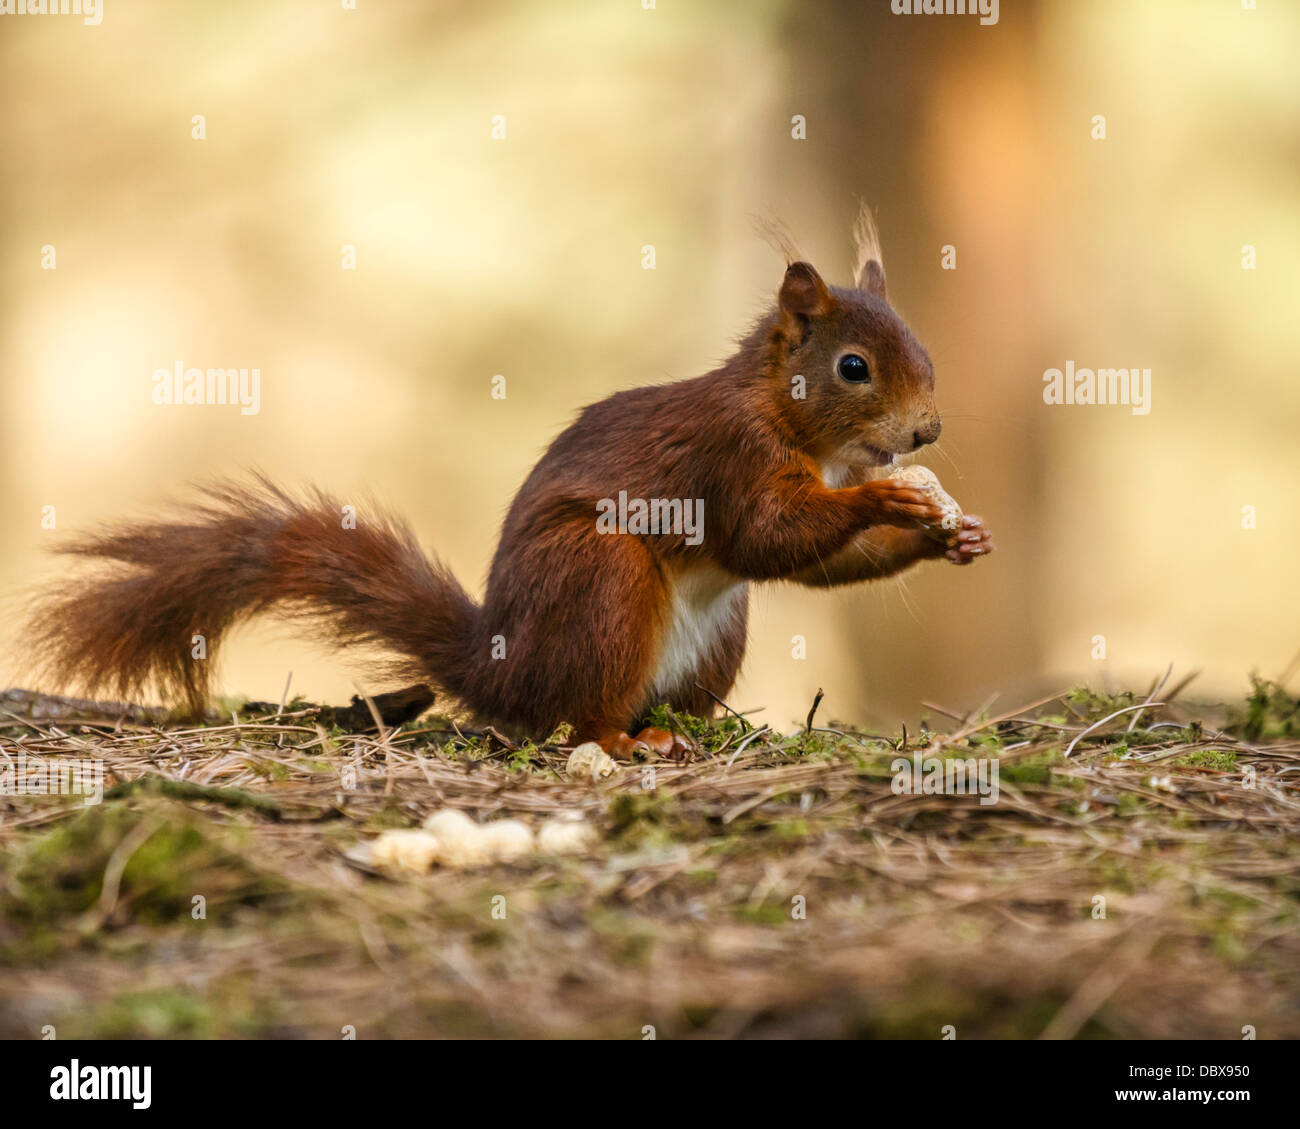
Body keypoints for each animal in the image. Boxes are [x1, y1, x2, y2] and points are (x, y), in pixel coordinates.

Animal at [24, 236, 993, 759]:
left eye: (923, 348)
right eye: (854, 367)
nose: (928, 433)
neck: (795, 426)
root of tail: (507, 664)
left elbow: (821, 565)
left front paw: (952, 537)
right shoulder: (731, 456)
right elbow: (767, 536)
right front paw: (897, 502)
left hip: (718, 635)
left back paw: (681, 729)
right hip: (602, 580)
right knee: (580, 718)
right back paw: (625, 741)